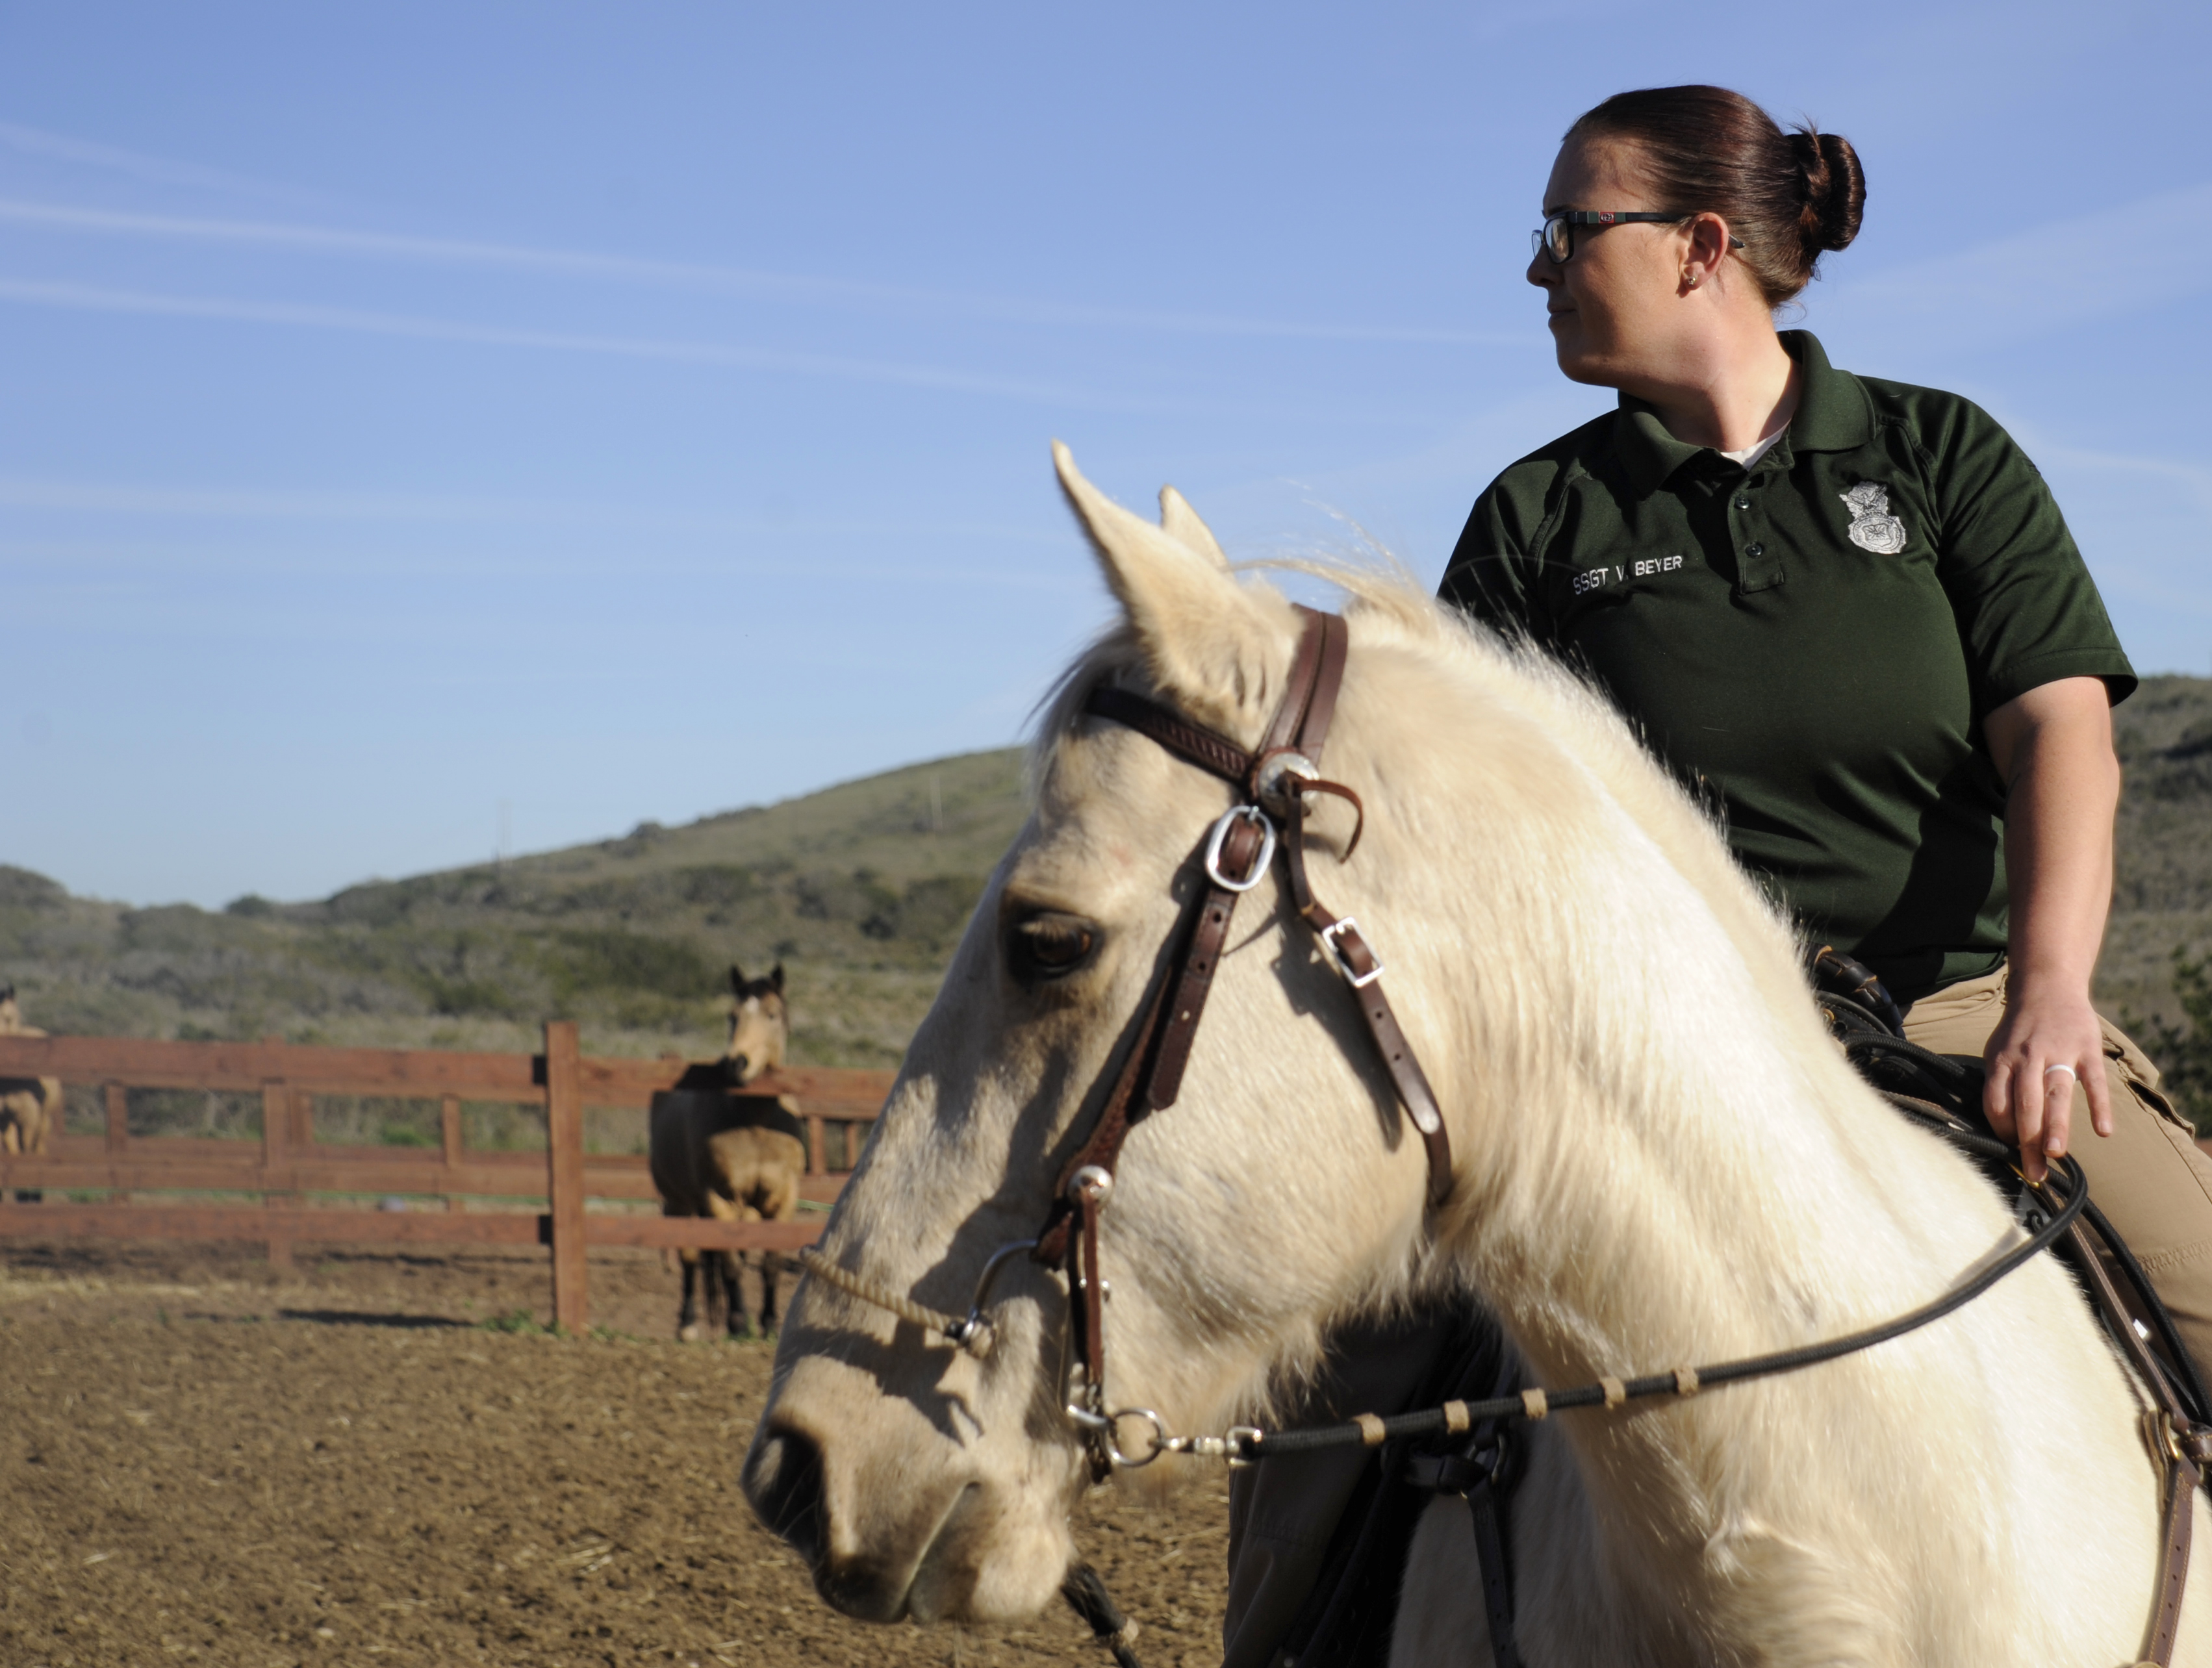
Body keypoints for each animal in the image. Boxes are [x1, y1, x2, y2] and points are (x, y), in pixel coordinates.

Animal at [0, 984, 61, 1202]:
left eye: (9, 1017)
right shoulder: (4, 1120)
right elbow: (12, 1152)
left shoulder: (29, 1119)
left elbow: (26, 1151)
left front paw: (27, 1192)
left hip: (42, 1121)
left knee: (37, 1149)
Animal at [648, 963, 805, 1340]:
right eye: (732, 1016)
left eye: (772, 1014)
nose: (737, 1063)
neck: (755, 1124)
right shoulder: (719, 1200)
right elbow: (731, 1264)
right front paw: (739, 1323)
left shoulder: (782, 1200)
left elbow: (771, 1262)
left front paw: (768, 1324)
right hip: (680, 1203)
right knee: (691, 1258)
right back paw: (688, 1324)